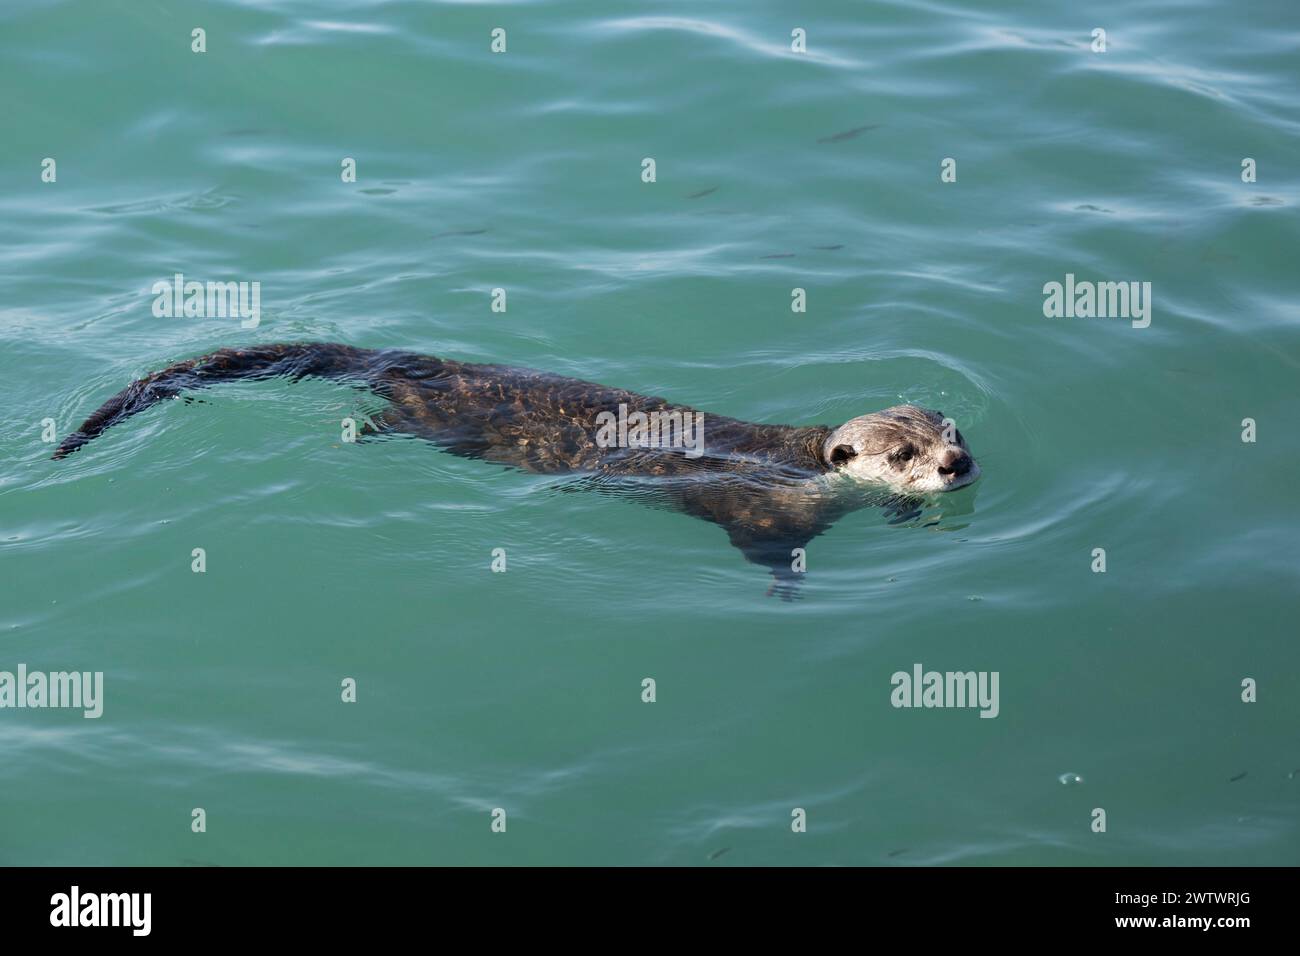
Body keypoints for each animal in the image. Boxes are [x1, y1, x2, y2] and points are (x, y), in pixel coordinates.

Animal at [53, 343, 980, 597]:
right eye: (903, 454)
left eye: (954, 429)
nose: (957, 464)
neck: (792, 467)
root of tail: (413, 363)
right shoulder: (758, 513)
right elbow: (766, 551)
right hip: (424, 418)